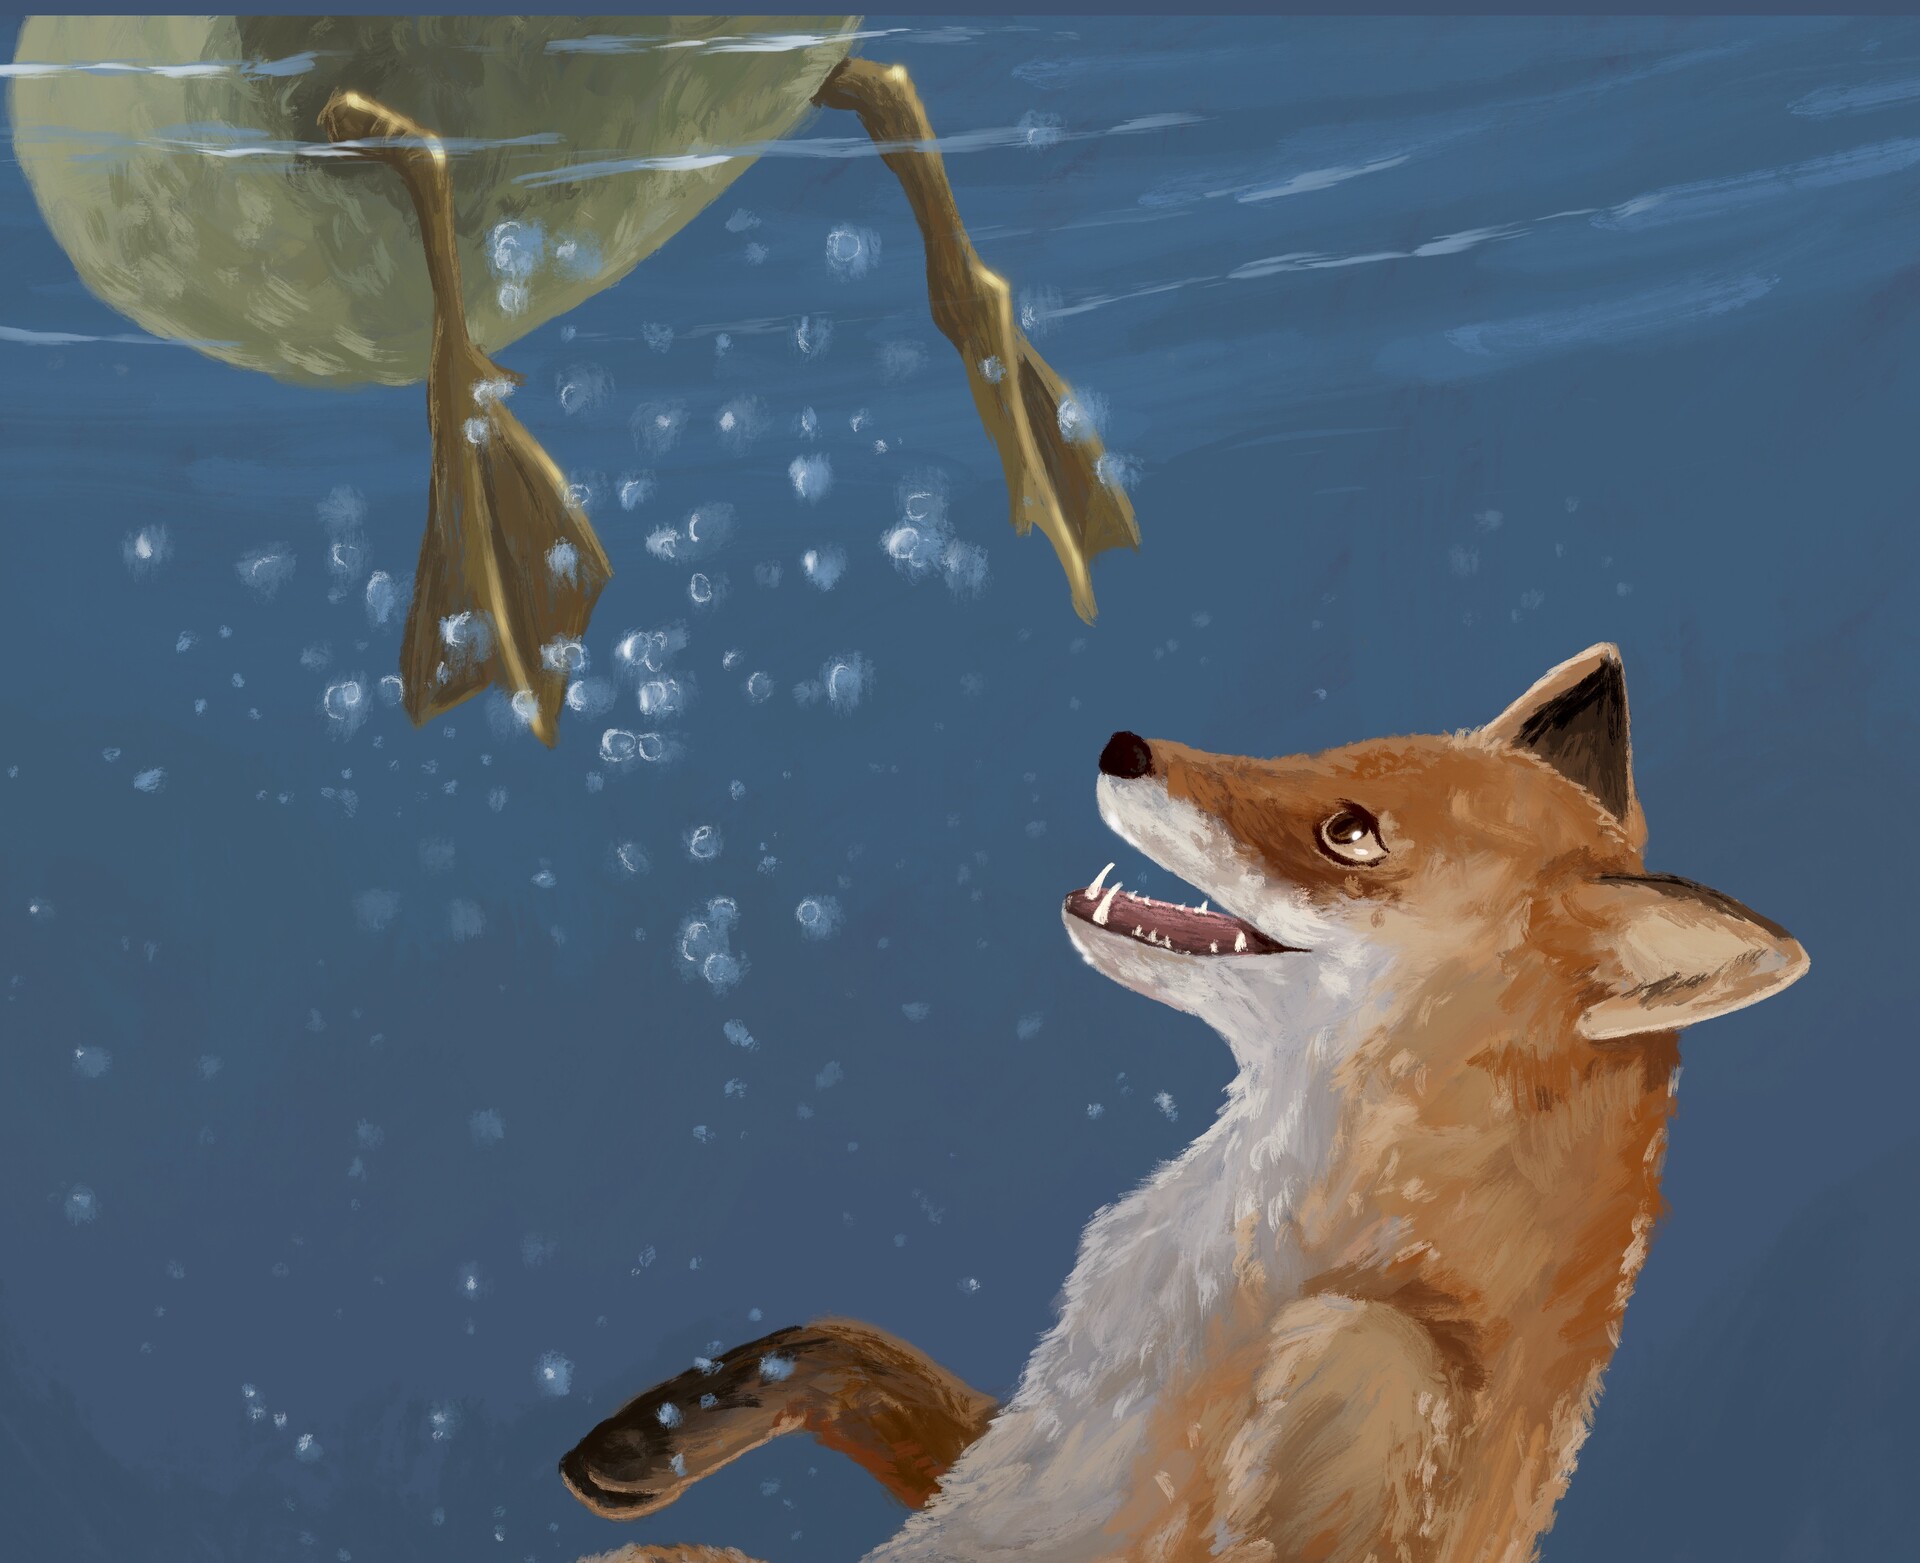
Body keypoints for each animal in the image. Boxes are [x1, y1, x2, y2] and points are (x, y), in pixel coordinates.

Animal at [560, 644, 1809, 1563]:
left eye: (1350, 834)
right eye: (1326, 754)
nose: (1122, 744)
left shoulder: (1355, 1384)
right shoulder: (1008, 1452)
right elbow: (846, 1349)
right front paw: (652, 1435)